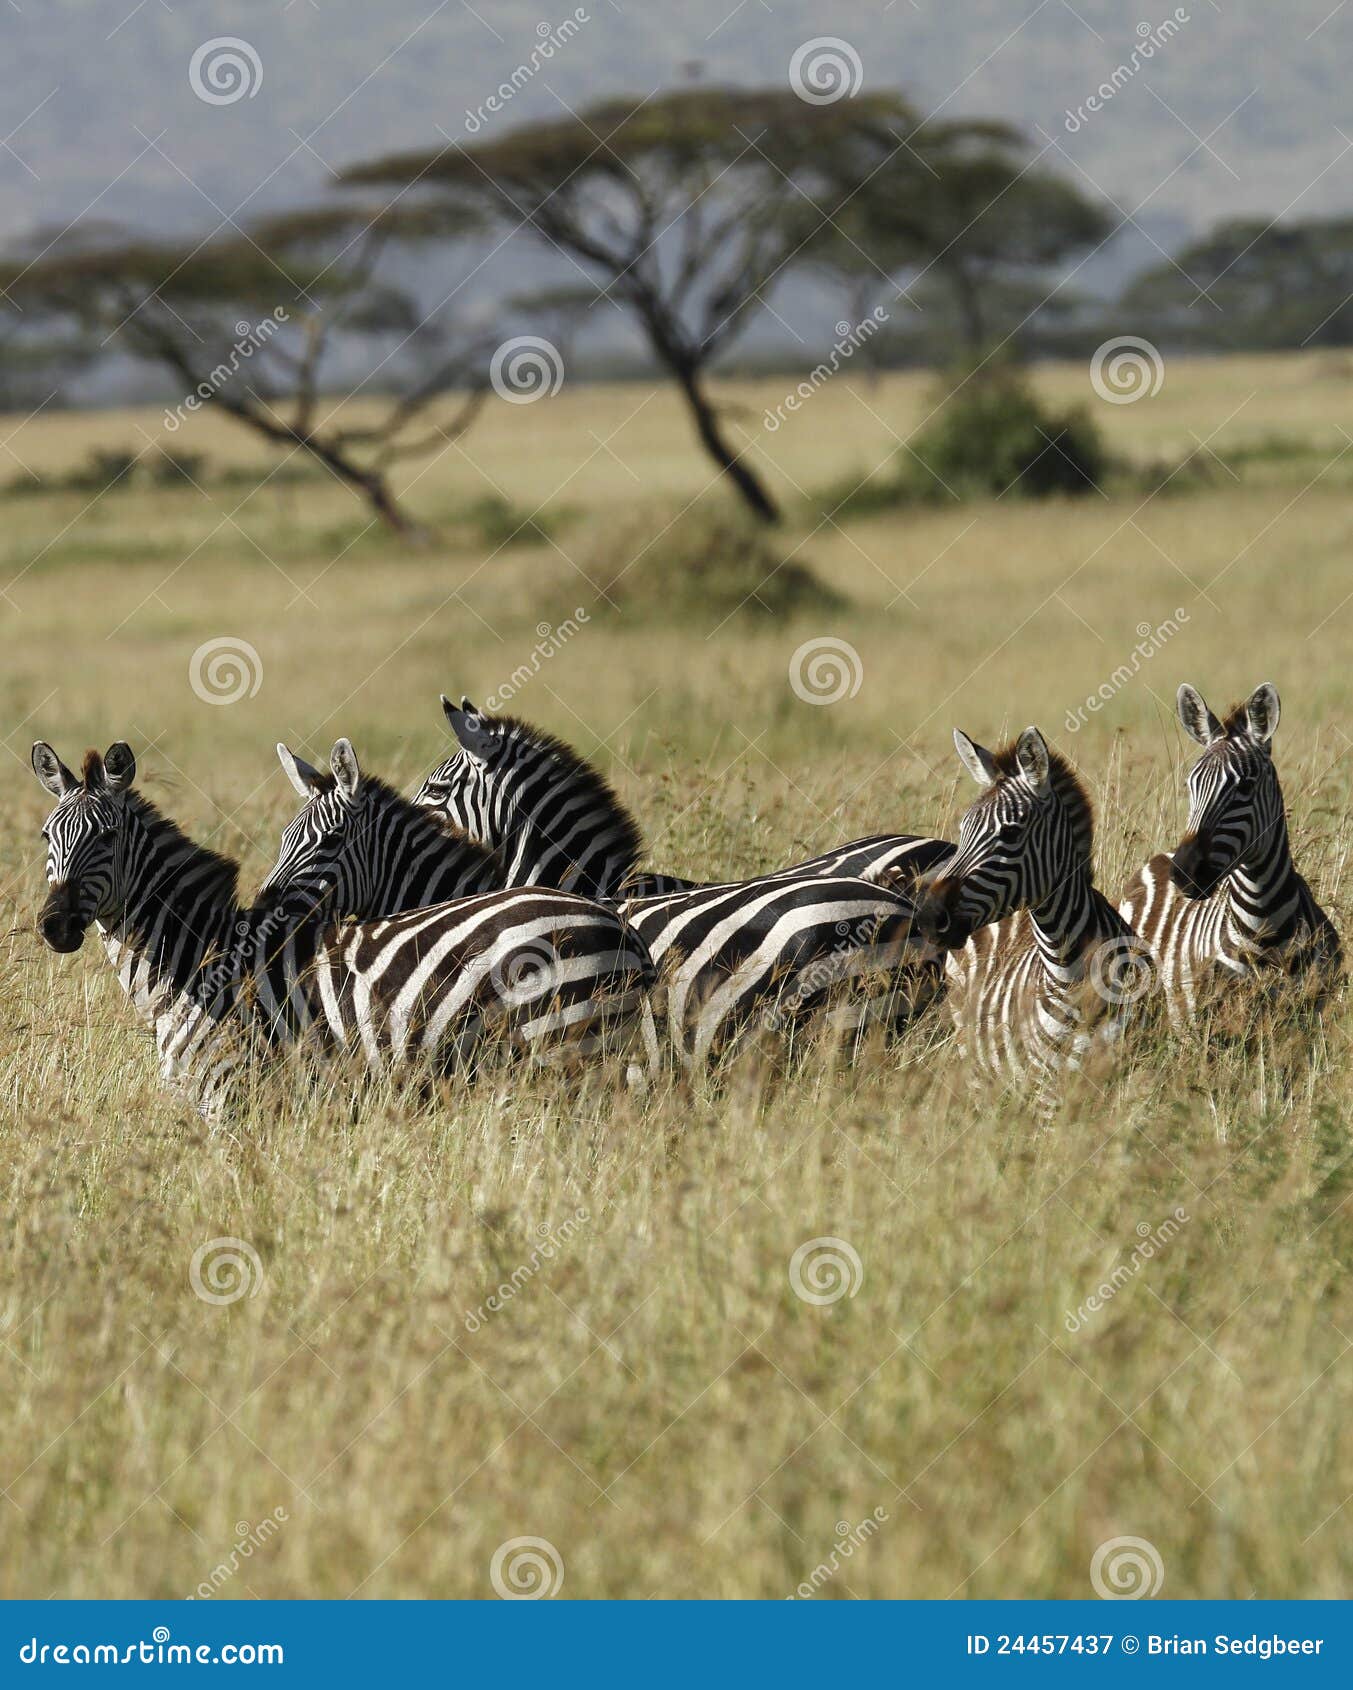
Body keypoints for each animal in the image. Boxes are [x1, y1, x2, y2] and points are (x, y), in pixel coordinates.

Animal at [31, 741, 656, 1118]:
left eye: (107, 838)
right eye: (45, 836)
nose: (54, 926)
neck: (197, 963)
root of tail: (615, 923)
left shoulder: (233, 1098)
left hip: (566, 1055)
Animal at [915, 725, 1145, 1105]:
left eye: (1010, 832)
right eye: (962, 829)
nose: (929, 917)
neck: (1070, 976)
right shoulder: (1047, 1085)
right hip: (971, 1050)